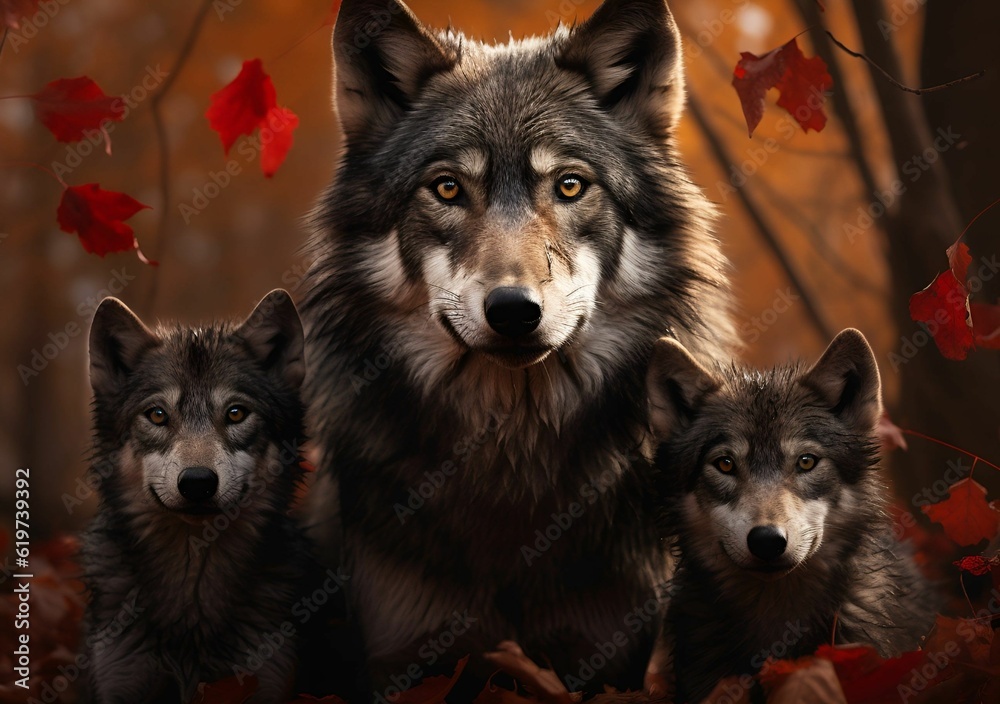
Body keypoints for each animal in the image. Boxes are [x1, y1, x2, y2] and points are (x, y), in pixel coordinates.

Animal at [300, 0, 737, 691]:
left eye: (569, 186)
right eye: (448, 188)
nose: (513, 311)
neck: (512, 464)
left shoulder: (606, 657)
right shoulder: (405, 652)